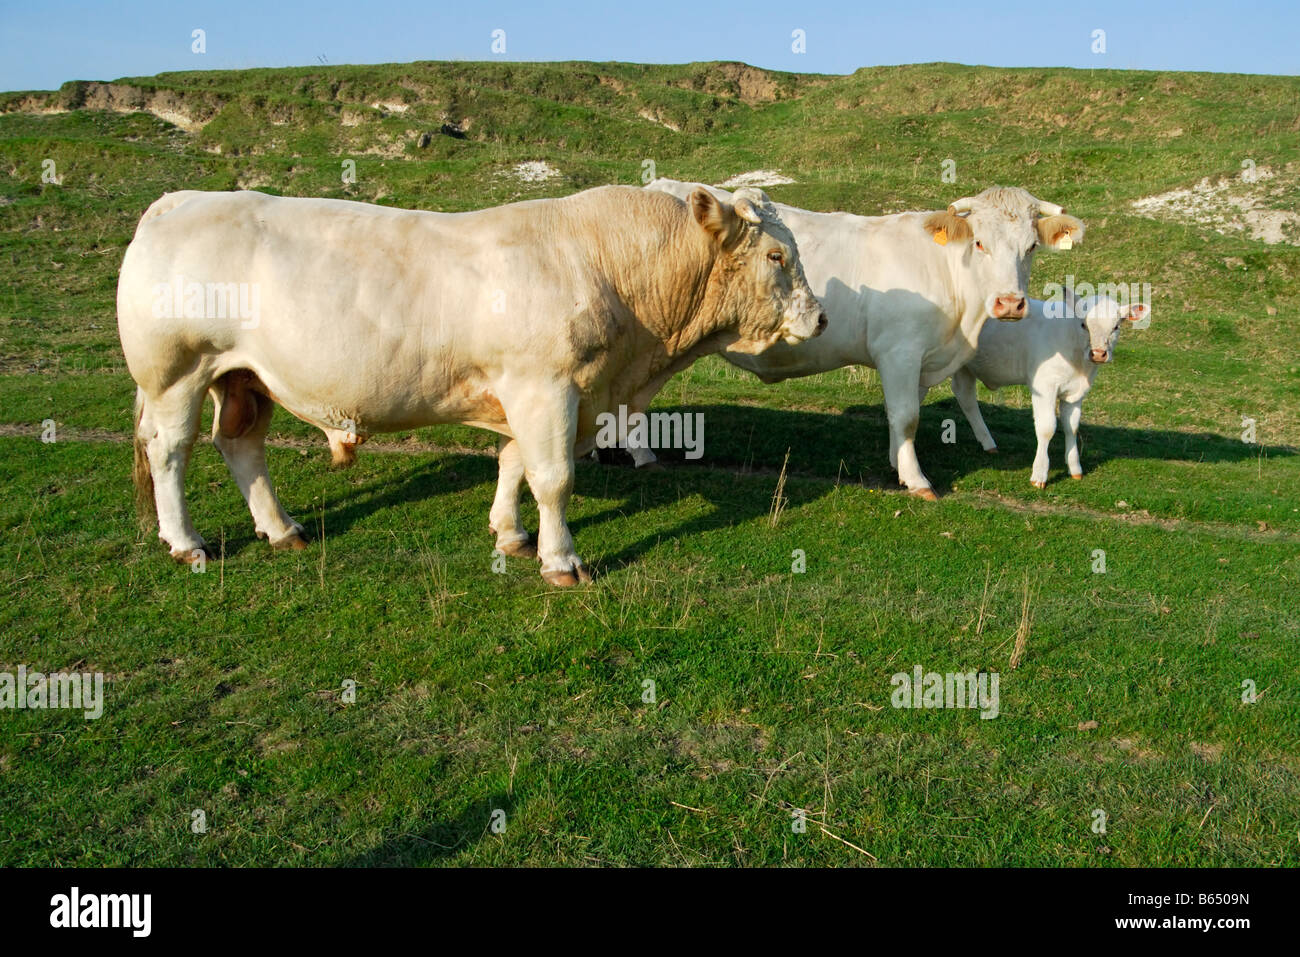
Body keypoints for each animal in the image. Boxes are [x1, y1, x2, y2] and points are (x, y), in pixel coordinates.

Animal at [118, 185, 826, 586]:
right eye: (776, 256)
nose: (820, 318)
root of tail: (180, 199)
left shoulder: (539, 393)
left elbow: (514, 463)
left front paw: (509, 535)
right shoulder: (545, 387)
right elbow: (553, 478)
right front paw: (561, 561)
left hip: (244, 377)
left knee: (241, 445)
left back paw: (282, 527)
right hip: (177, 372)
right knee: (171, 451)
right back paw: (186, 543)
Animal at [643, 179, 1084, 498]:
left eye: (1031, 247)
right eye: (980, 243)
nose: (1010, 303)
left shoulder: (919, 358)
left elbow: (901, 413)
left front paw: (897, 463)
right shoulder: (900, 351)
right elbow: (907, 415)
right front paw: (918, 481)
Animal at [950, 289, 1151, 487]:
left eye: (1116, 327)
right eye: (1083, 324)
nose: (1098, 354)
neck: (1080, 366)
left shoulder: (1075, 393)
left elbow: (1072, 427)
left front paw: (1075, 468)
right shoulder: (1044, 386)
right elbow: (1046, 428)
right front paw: (1039, 474)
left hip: (964, 367)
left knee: (965, 396)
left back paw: (988, 442)